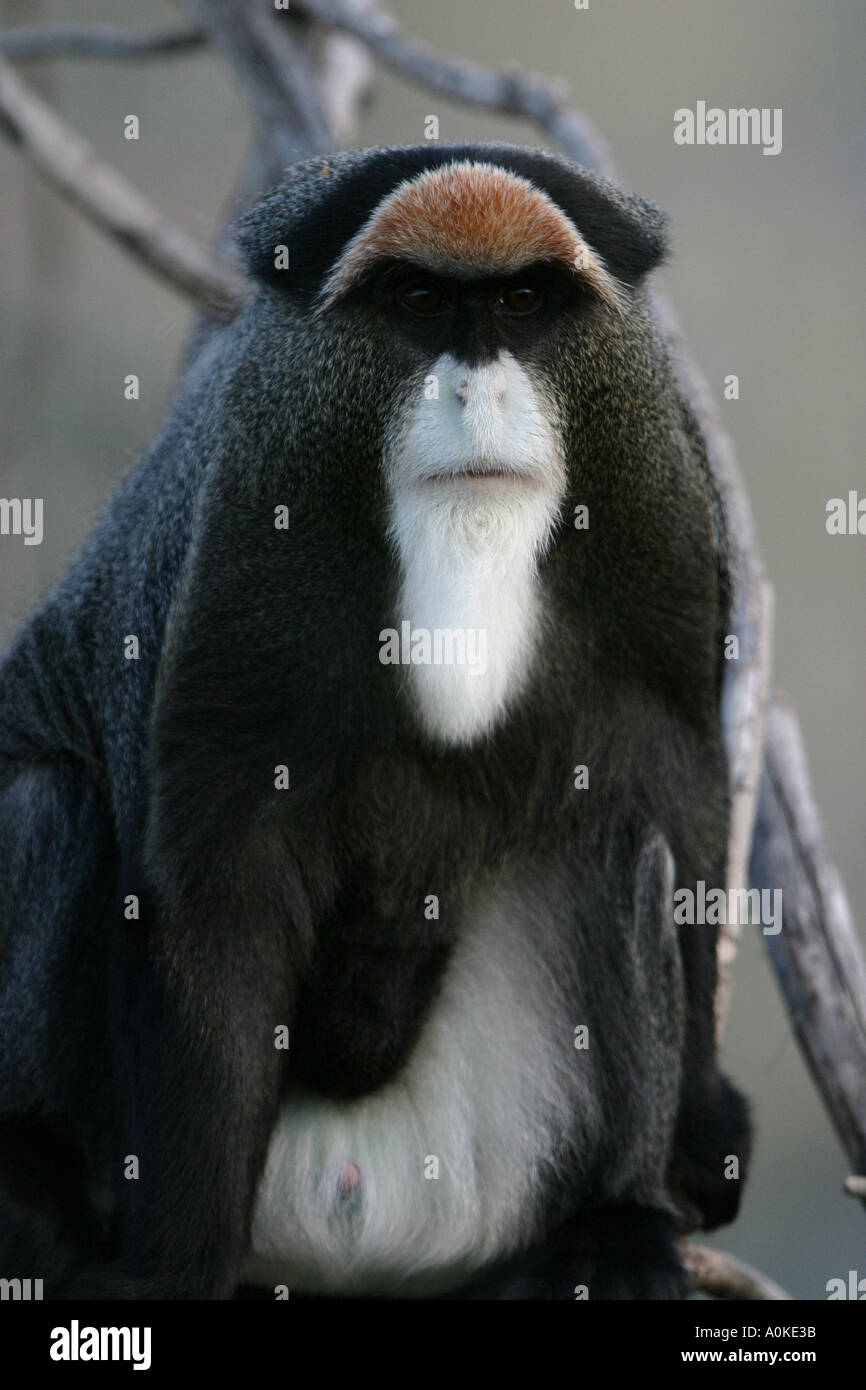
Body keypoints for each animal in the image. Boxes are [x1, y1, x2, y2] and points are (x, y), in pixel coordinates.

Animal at [0, 142, 751, 1300]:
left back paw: (609, 1231)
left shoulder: (660, 517)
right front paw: (171, 1269)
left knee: (617, 834)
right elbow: (217, 888)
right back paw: (41, 1187)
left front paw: (704, 1135)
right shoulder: (245, 536)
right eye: (418, 300)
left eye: (522, 302)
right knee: (49, 803)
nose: (477, 387)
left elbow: (683, 799)